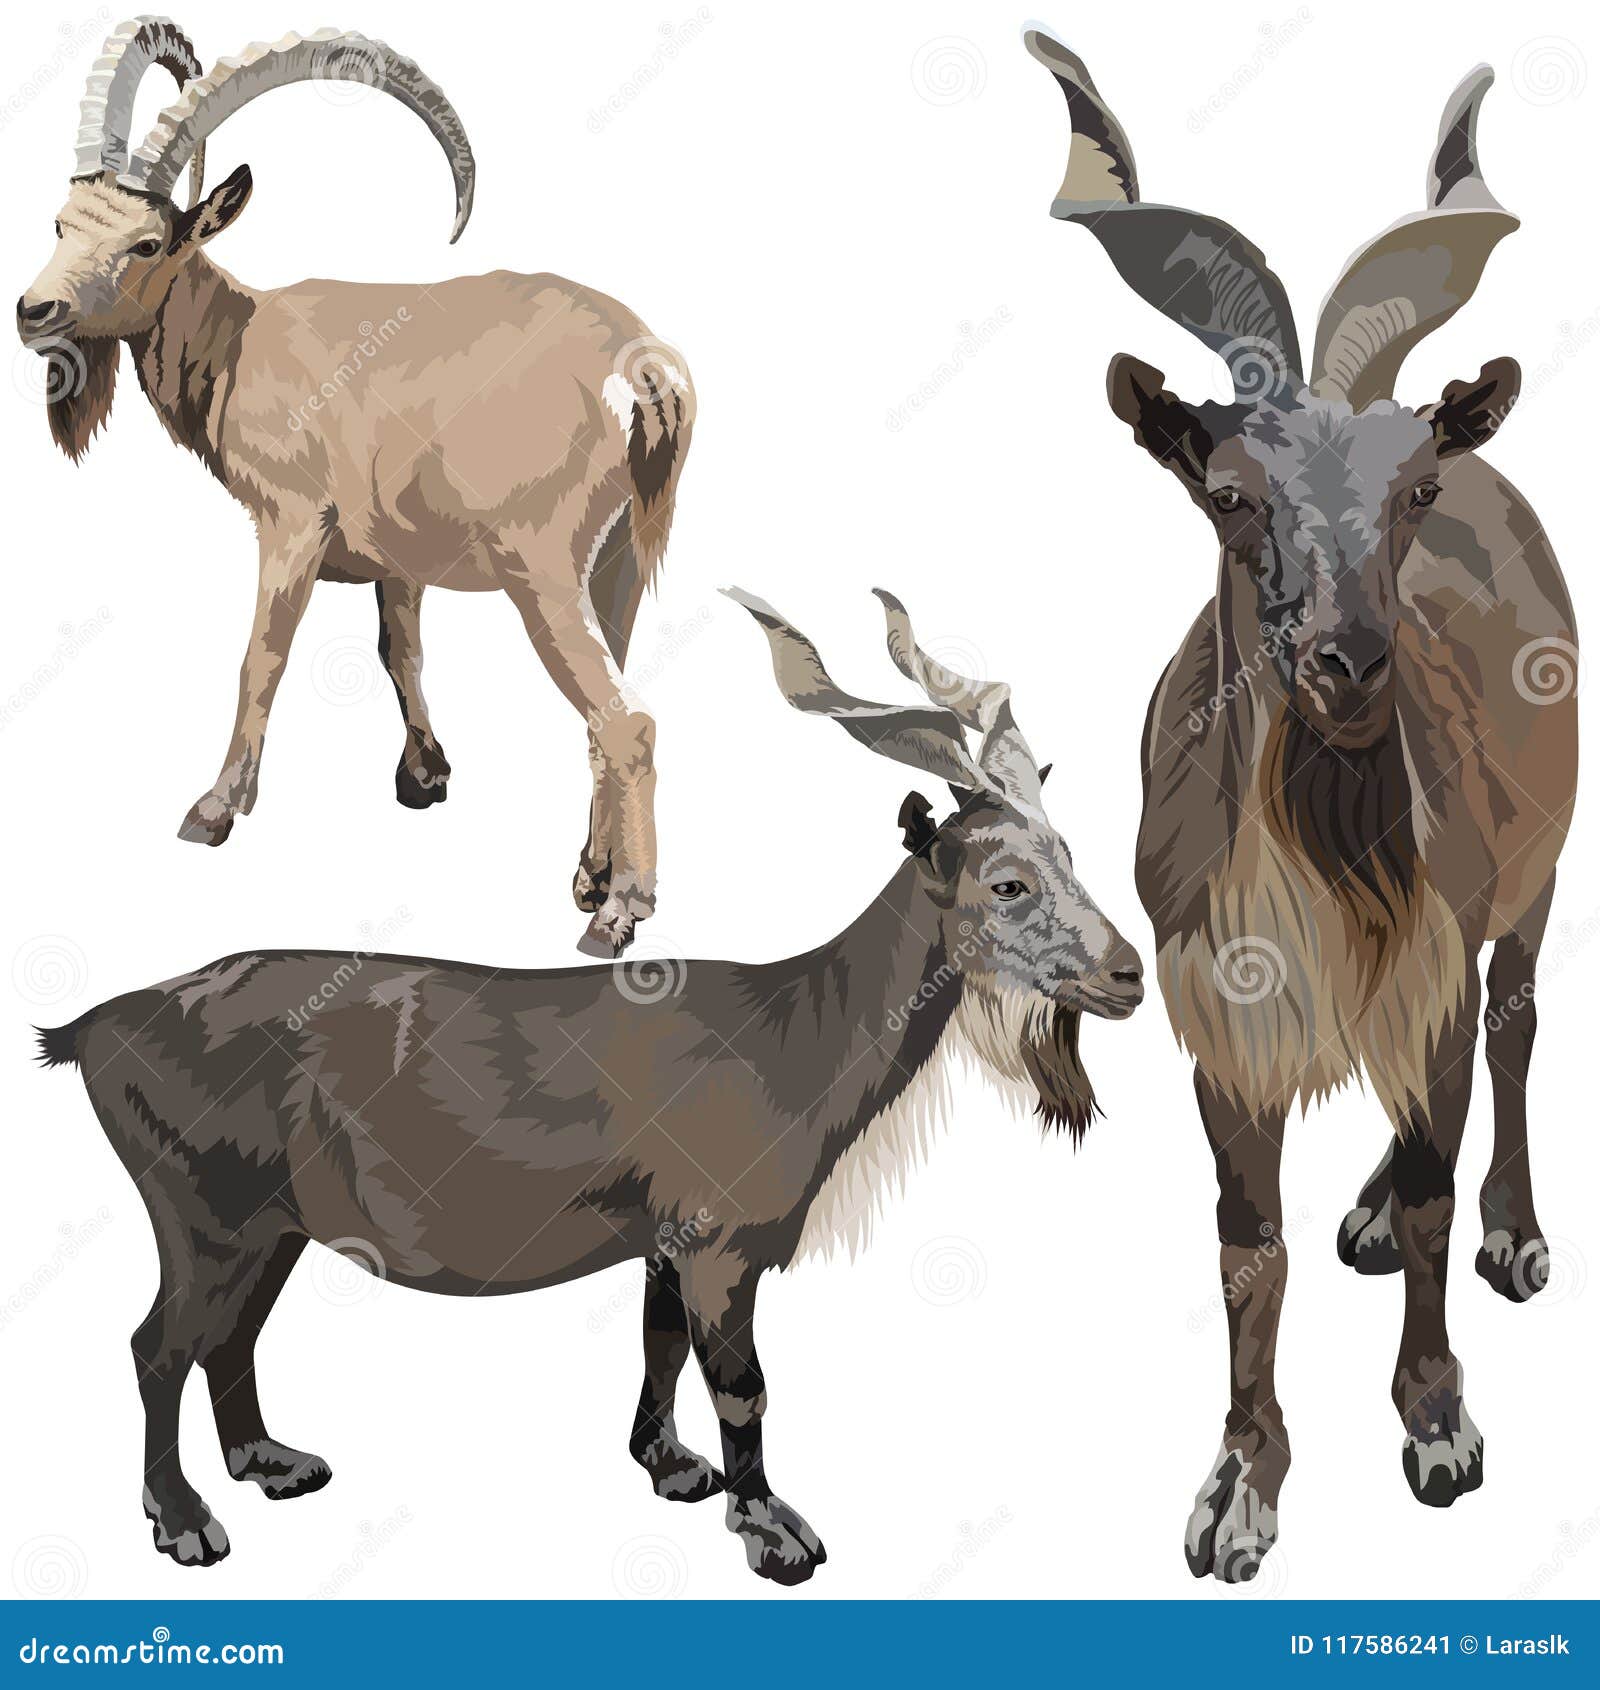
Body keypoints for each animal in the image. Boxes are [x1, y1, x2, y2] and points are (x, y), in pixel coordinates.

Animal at [17, 19, 693, 956]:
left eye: (146, 244)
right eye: (59, 223)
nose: (33, 312)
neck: (239, 341)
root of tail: (643, 371)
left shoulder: (292, 522)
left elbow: (261, 655)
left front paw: (213, 810)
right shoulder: (397, 558)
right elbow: (398, 649)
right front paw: (424, 777)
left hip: (544, 567)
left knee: (626, 720)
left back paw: (621, 912)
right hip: (617, 560)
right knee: (605, 708)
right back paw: (589, 876)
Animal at [38, 588, 1143, 1584]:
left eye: (1072, 855)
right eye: (1007, 882)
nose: (1128, 974)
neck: (794, 1030)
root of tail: (94, 1028)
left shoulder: (664, 1234)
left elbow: (659, 1347)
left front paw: (671, 1467)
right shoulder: (720, 1238)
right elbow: (741, 1383)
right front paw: (773, 1532)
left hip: (270, 1223)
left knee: (228, 1337)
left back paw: (268, 1463)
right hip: (199, 1210)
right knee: (155, 1345)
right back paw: (184, 1521)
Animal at [1025, 30, 1578, 1582]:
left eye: (1413, 486)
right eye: (1224, 491)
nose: (1348, 666)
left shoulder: (1438, 957)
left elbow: (1444, 1163)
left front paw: (1438, 1422)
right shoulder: (1220, 1022)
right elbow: (1247, 1244)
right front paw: (1237, 1484)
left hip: (1536, 880)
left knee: (1514, 1029)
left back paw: (1510, 1233)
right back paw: (1370, 1208)